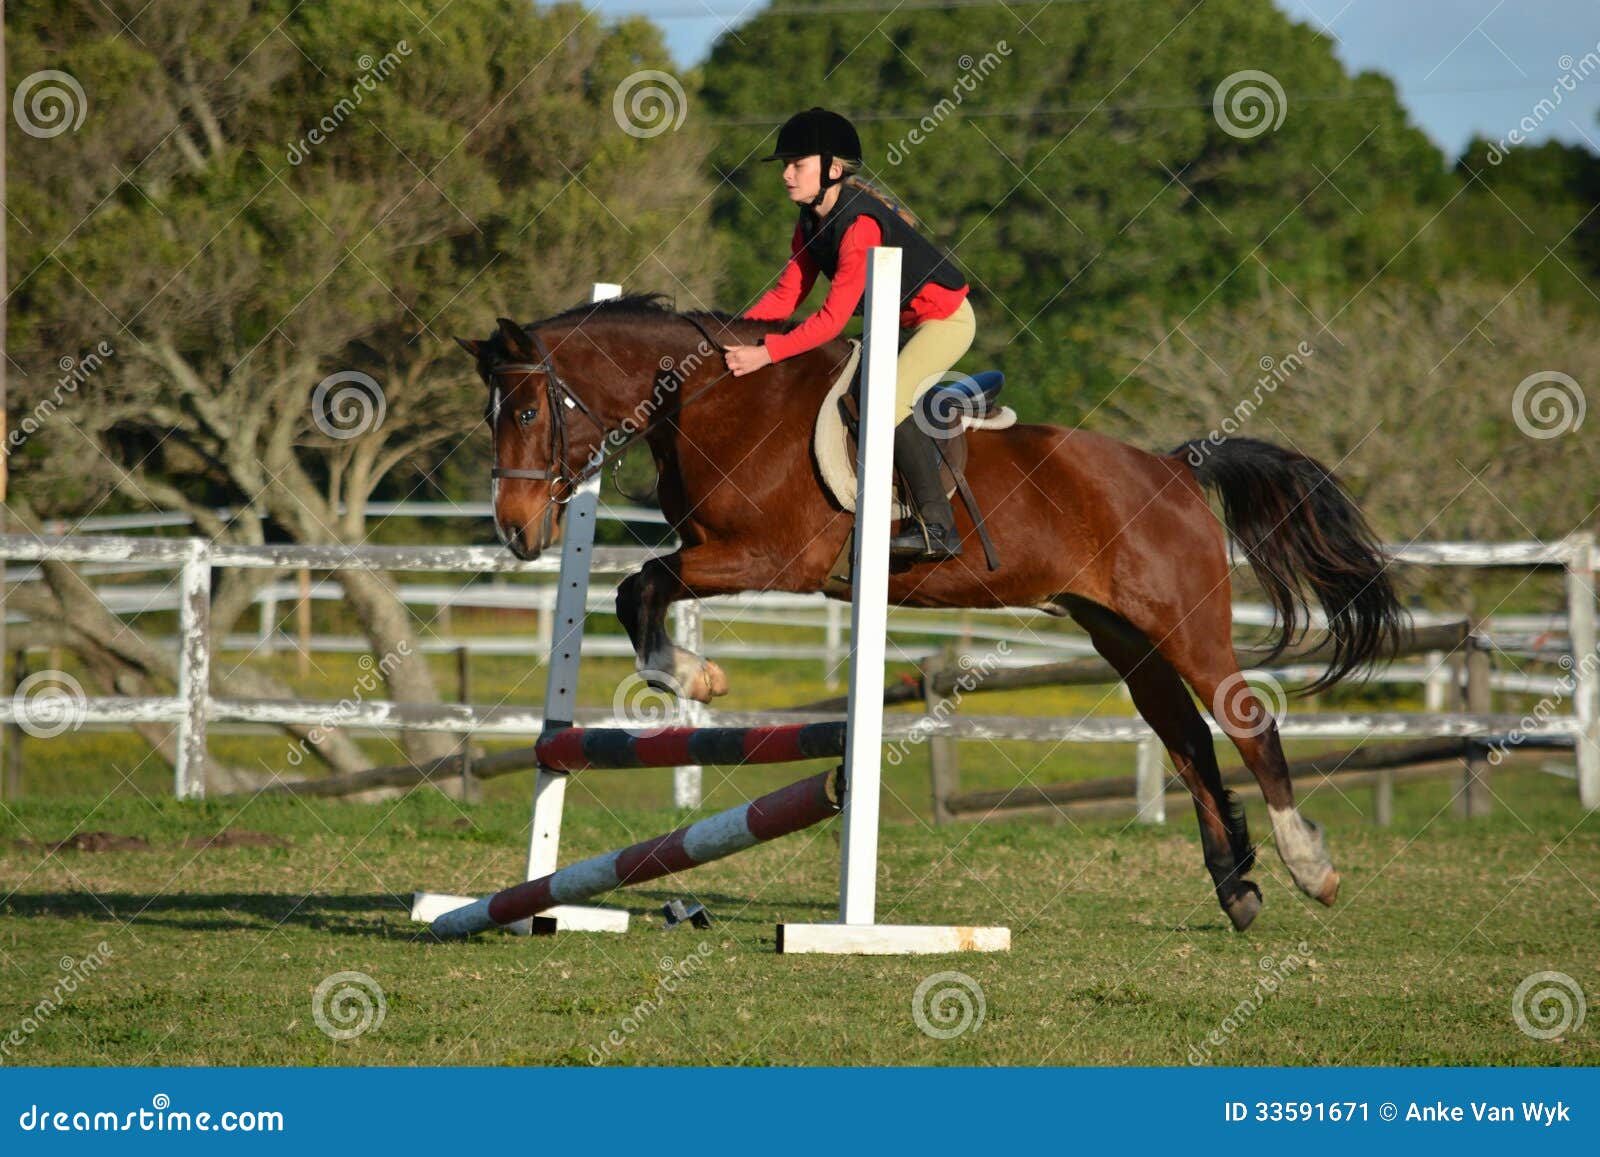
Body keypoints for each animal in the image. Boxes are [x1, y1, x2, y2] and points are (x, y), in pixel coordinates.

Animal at [456, 293, 1405, 933]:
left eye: (530, 408)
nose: (515, 531)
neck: (720, 401)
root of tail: (1175, 467)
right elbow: (638, 589)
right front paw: (686, 674)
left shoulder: (769, 557)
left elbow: (642, 584)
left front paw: (696, 676)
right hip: (1124, 636)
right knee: (1187, 741)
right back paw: (1237, 889)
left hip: (1186, 623)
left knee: (1247, 725)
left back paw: (1308, 867)